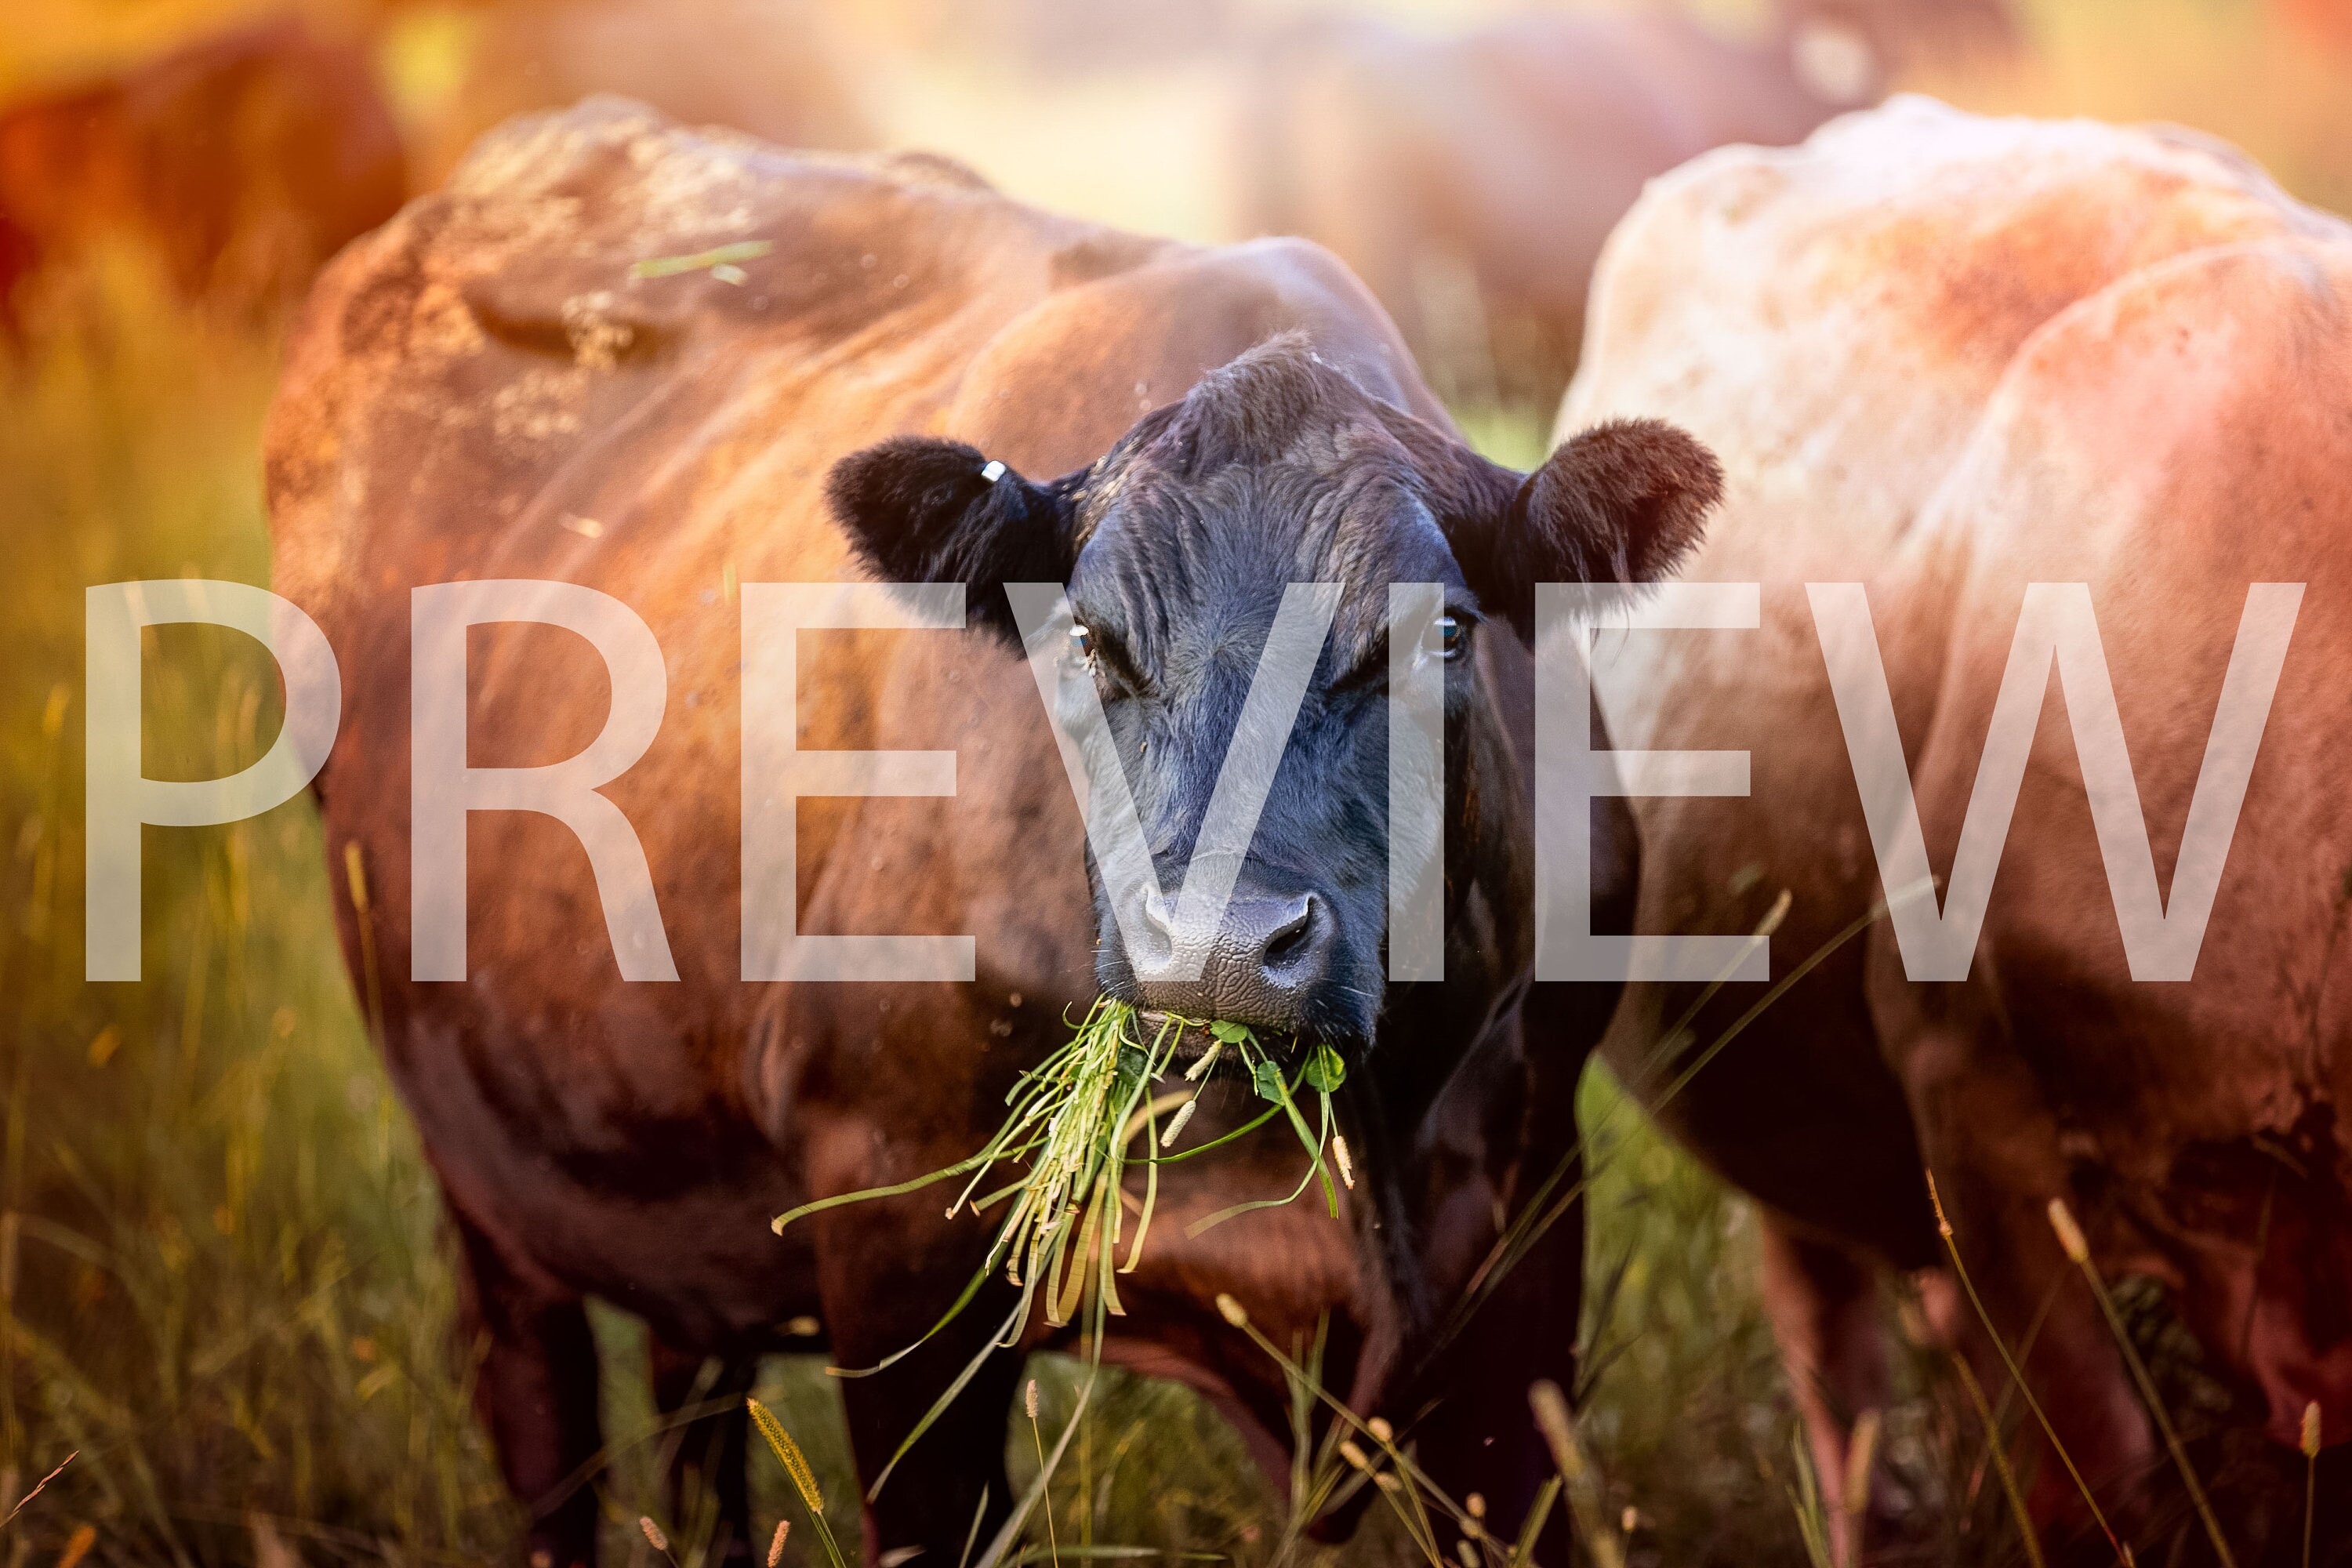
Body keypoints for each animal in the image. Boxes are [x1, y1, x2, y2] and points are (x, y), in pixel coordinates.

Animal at [265, 97, 1719, 1567]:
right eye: (1084, 640)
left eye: (1440, 634)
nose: (1216, 949)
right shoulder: (900, 1237)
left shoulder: (1523, 1262)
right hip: (484, 1166)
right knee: (543, 1417)